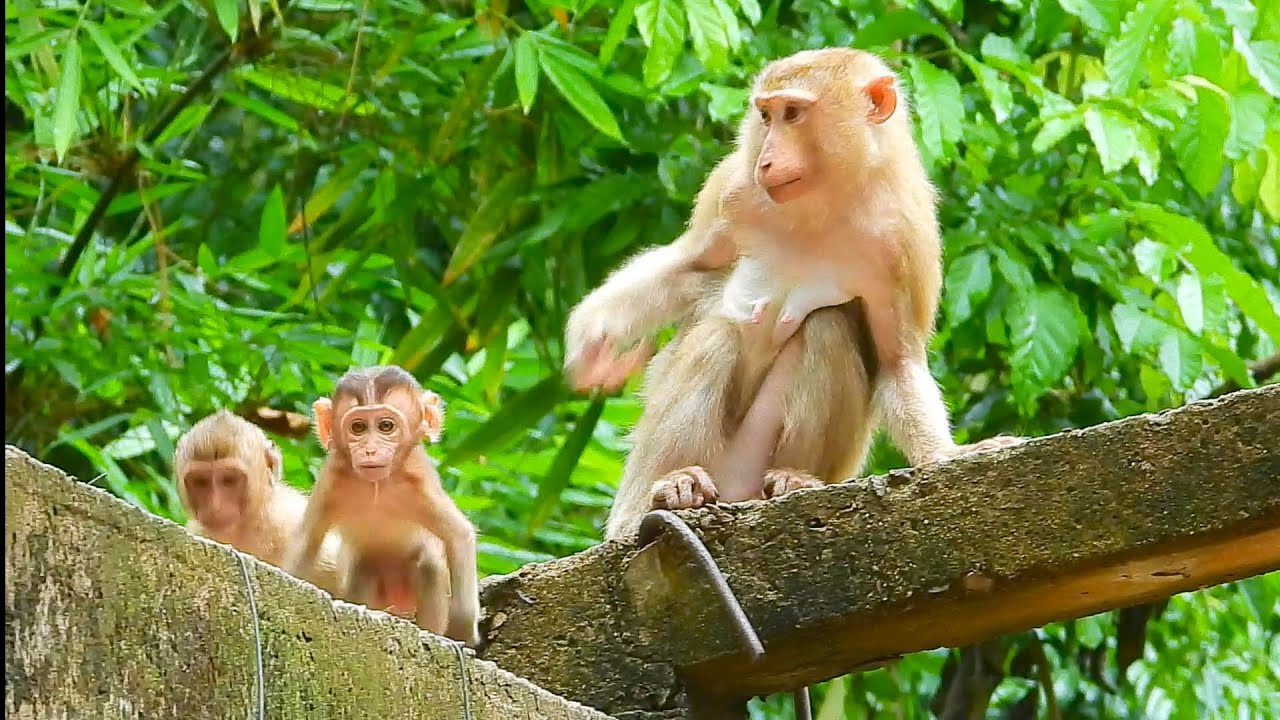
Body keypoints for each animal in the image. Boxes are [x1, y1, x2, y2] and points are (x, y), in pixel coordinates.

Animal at [284, 365, 482, 648]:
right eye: (358, 427)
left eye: (386, 426)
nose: (369, 450)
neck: (375, 486)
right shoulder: (331, 477)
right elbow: (306, 542)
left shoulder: (419, 481)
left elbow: (459, 535)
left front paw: (463, 632)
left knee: (429, 563)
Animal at [564, 48, 1022, 540]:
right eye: (766, 115)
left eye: (793, 114)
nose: (766, 159)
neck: (824, 204)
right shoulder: (733, 187)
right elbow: (688, 264)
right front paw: (593, 344)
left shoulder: (905, 237)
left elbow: (898, 359)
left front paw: (948, 455)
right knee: (715, 338)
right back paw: (667, 490)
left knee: (828, 326)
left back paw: (793, 477)